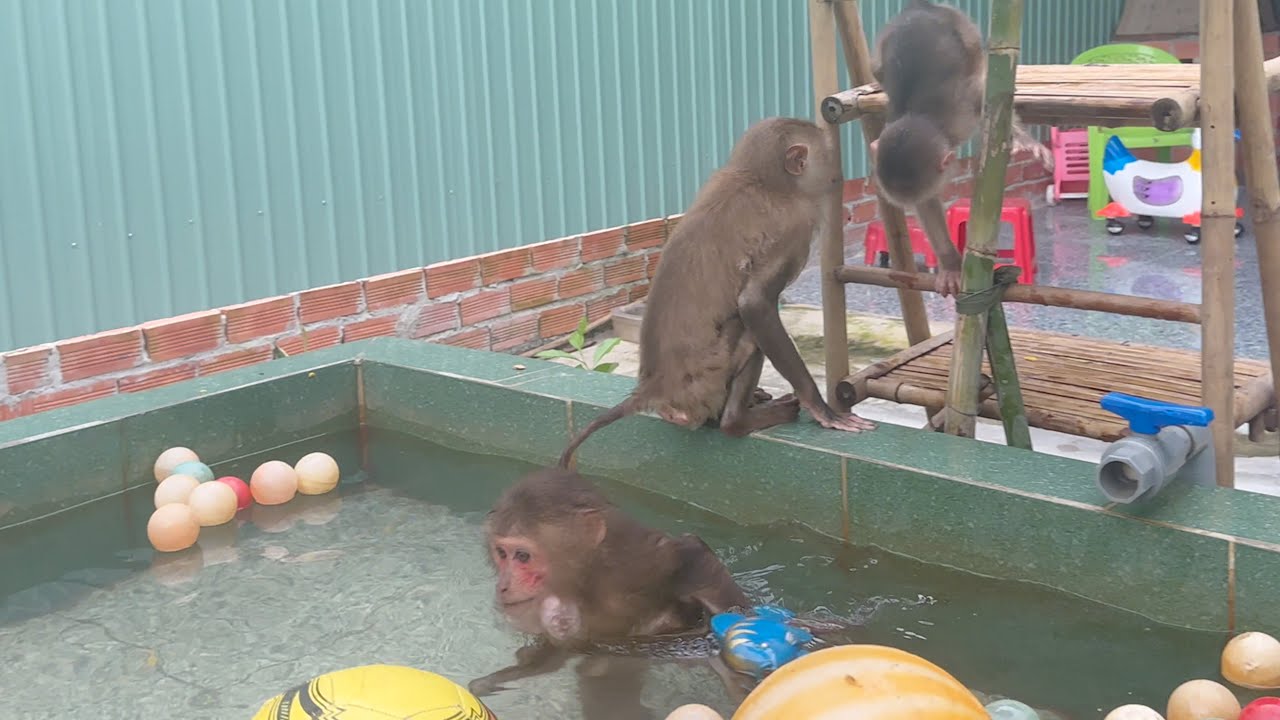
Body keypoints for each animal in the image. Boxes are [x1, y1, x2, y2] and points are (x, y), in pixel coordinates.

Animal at [557, 117, 875, 469]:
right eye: (829, 158)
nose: (839, 174)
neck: (760, 178)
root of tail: (654, 388)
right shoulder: (795, 227)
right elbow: (754, 304)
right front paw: (821, 407)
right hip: (708, 376)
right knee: (749, 331)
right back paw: (737, 420)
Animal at [868, 0, 1053, 298]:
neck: (921, 118)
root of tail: (923, 7)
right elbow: (927, 205)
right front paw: (951, 264)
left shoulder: (963, 108)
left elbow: (989, 101)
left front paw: (1025, 141)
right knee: (877, 67)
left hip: (962, 26)